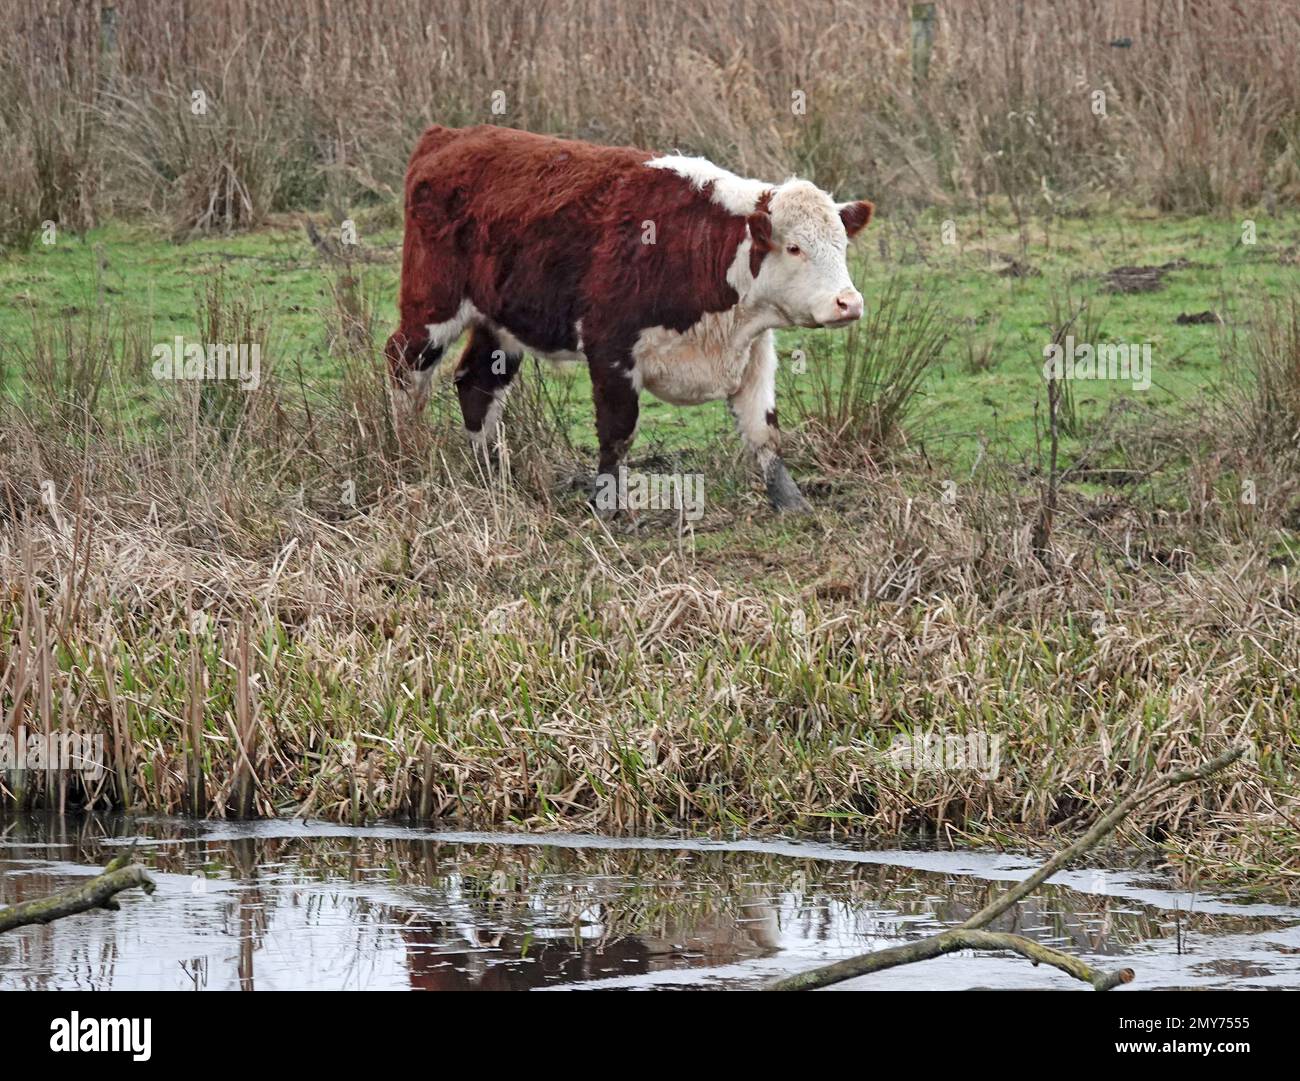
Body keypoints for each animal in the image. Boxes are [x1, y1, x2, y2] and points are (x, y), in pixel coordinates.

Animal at [384, 124, 873, 514]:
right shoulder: (612, 350)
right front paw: (605, 506)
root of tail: (451, 135)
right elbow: (617, 433)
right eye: (794, 247)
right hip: (432, 309)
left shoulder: (753, 353)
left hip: (499, 323)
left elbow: (764, 433)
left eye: (842, 243)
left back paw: (489, 473)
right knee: (404, 365)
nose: (849, 303)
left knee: (476, 384)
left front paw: (791, 502)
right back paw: (405, 450)